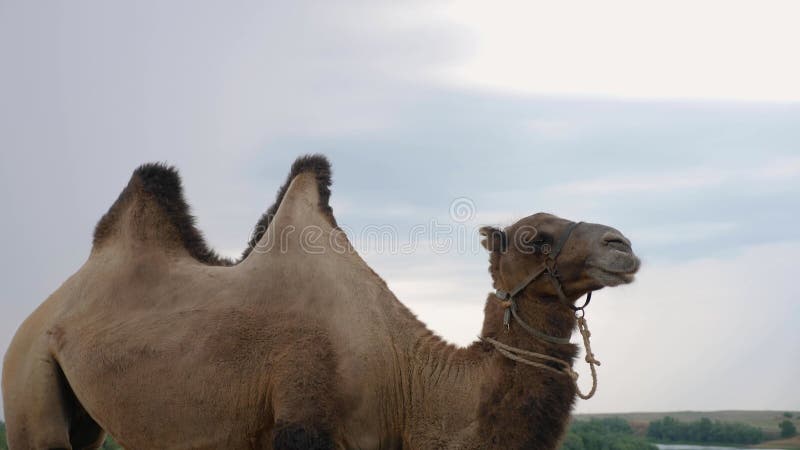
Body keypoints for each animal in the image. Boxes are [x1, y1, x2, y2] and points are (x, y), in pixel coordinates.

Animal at [2, 155, 640, 450]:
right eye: (535, 237)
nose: (623, 245)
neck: (408, 376)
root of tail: (34, 319)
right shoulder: (301, 418)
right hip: (28, 382)